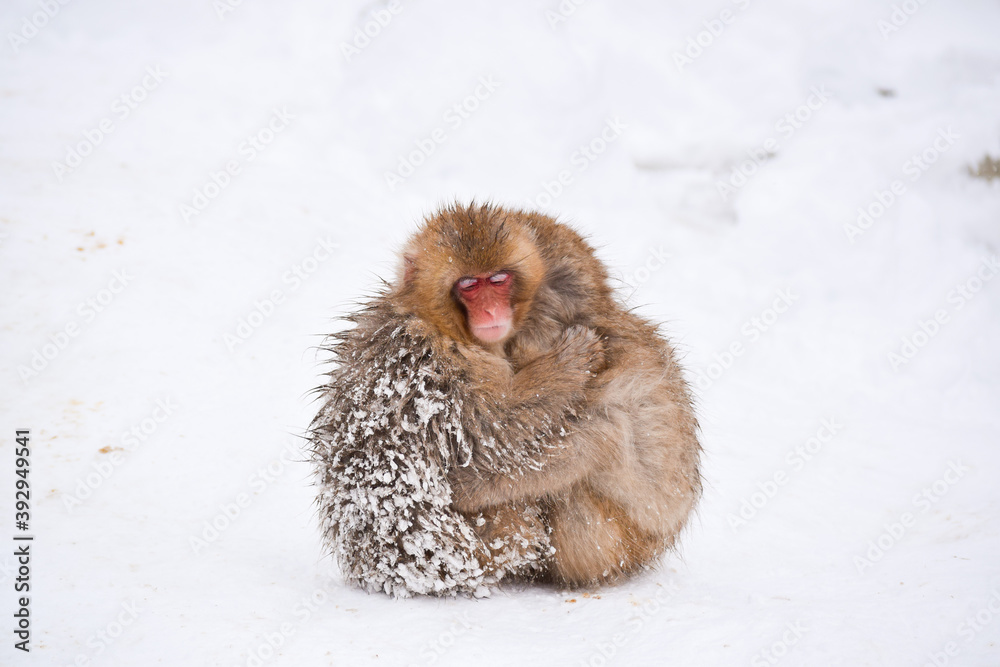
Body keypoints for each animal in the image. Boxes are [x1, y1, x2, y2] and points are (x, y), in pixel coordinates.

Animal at [309, 202, 701, 595]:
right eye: (468, 285)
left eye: (498, 280)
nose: (491, 312)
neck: (438, 323)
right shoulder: (448, 368)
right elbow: (501, 434)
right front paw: (569, 362)